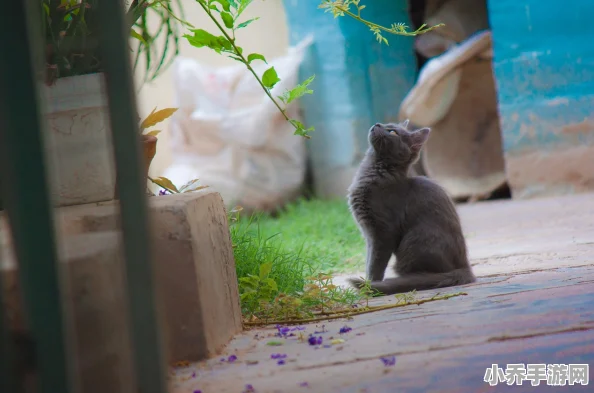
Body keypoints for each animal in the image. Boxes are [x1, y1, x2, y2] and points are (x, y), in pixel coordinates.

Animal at [344, 119, 474, 294]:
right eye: (385, 124)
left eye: (393, 132)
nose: (377, 124)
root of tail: (465, 266)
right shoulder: (369, 236)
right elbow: (368, 260)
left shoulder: (382, 233)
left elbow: (374, 264)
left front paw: (370, 286)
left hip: (413, 241)